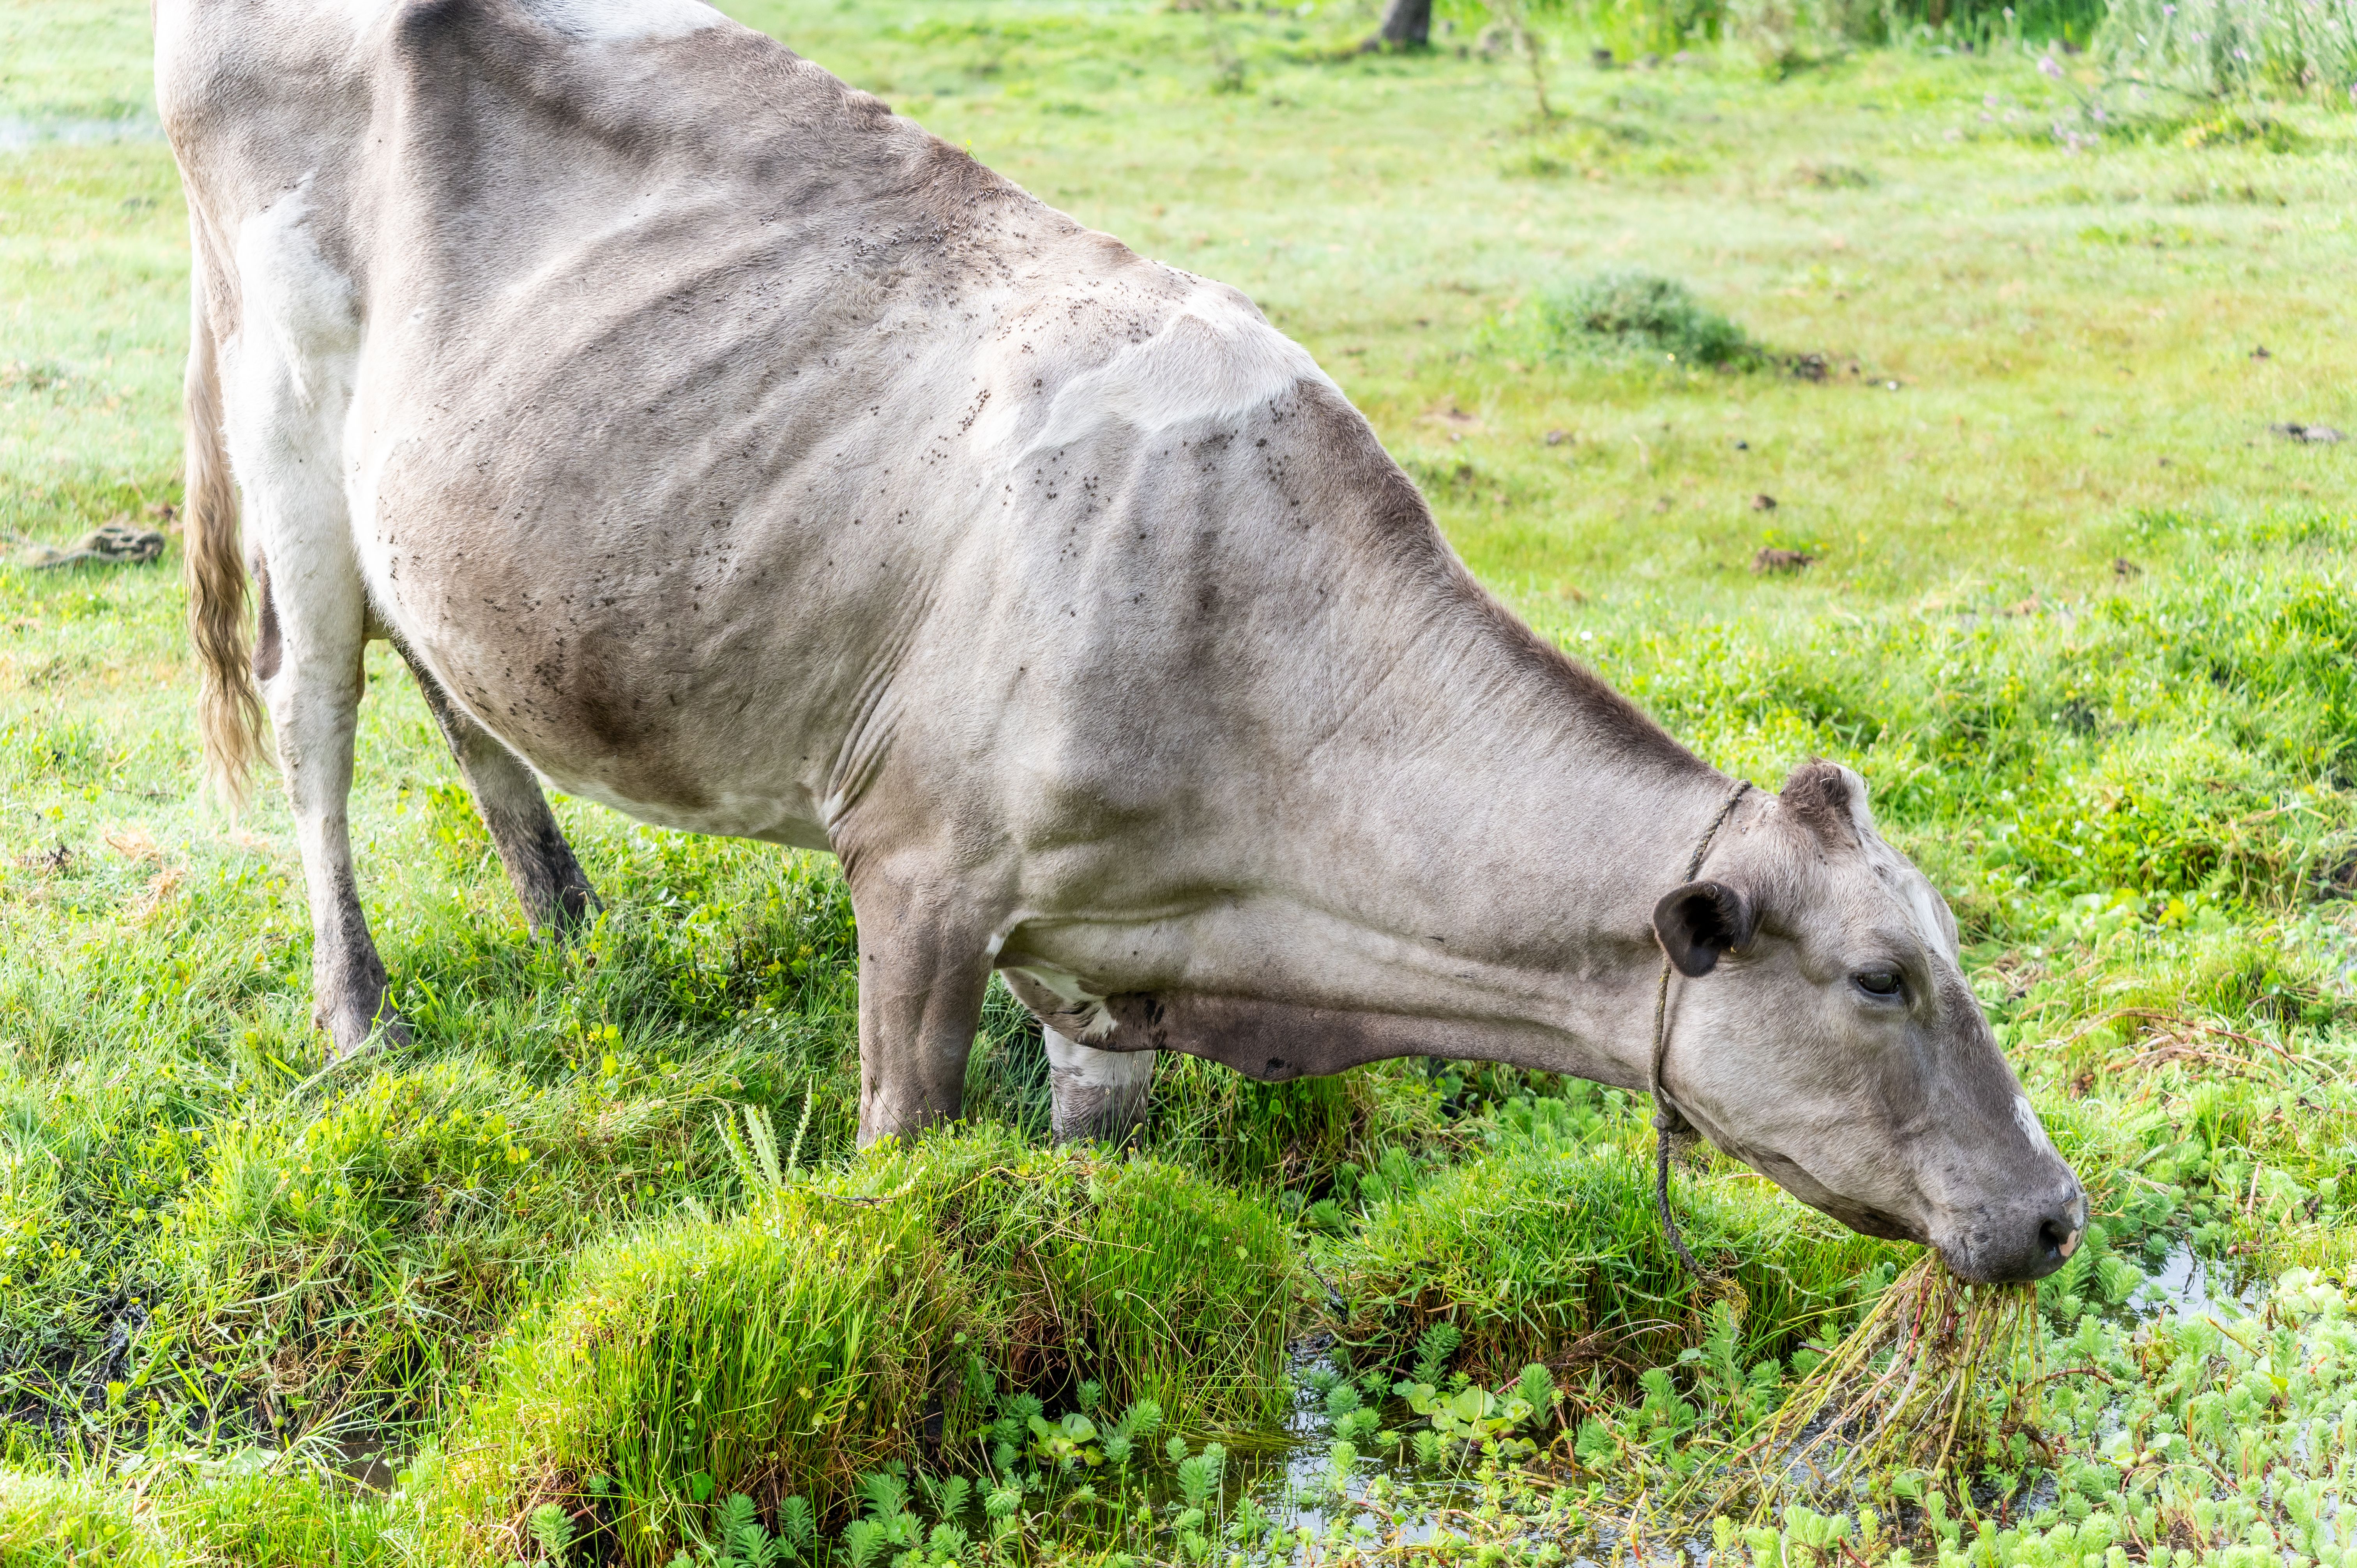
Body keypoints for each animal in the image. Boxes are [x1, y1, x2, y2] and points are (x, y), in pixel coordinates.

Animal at [157, 0, 2084, 1284]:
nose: (2054, 1208)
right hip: (282, 417)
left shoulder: (1099, 960)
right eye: (1878, 977)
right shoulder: (919, 873)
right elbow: (899, 1145)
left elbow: (1097, 1174)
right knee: (321, 710)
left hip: (444, 497)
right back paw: (359, 1013)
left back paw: (563, 908)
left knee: (456, 671)